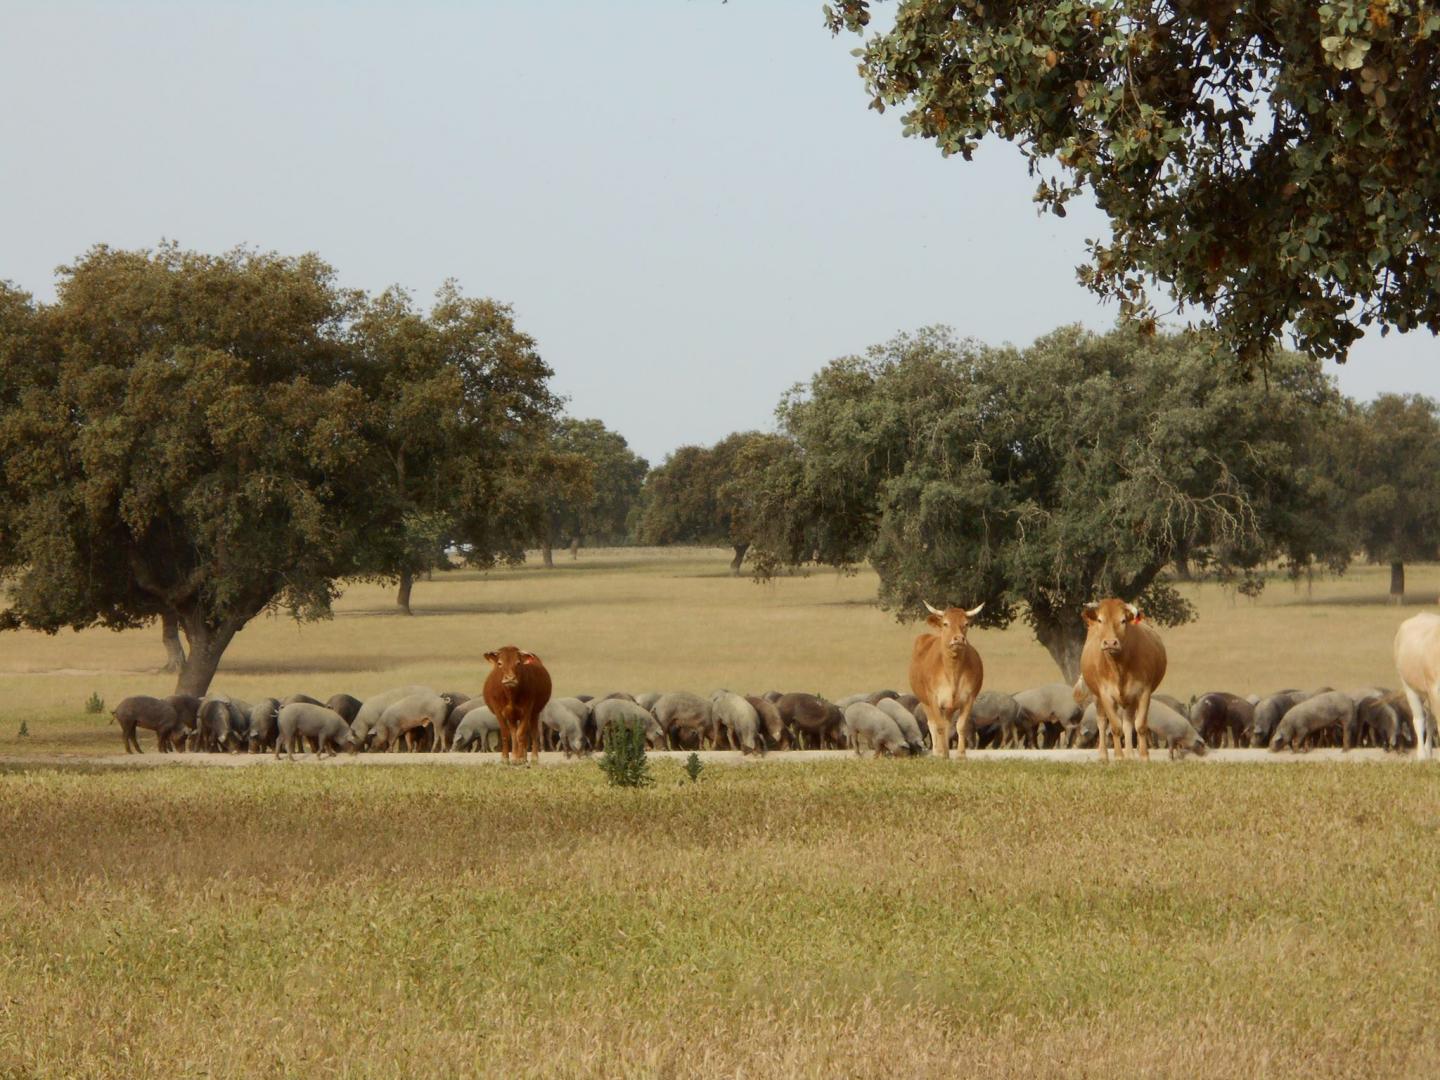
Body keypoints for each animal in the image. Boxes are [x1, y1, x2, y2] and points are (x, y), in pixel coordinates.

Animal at [904, 601, 984, 760]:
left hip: (948, 707)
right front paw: (942, 754)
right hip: (925, 702)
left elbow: (960, 726)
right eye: (946, 623)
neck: (953, 672)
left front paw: (961, 755)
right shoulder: (933, 698)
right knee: (933, 724)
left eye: (966, 624)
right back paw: (938, 751)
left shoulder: (969, 698)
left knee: (947, 724)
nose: (958, 639)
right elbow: (939, 726)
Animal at [1082, 596, 1169, 766]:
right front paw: (1118, 757)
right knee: (1102, 722)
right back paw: (1104, 756)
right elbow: (1115, 727)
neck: (1119, 667)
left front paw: (1144, 756)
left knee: (1128, 723)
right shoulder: (1105, 694)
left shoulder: (1143, 692)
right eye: (1100, 620)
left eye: (1123, 620)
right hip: (1097, 697)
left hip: (1130, 699)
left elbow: (1140, 725)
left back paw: (1130, 755)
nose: (1110, 643)